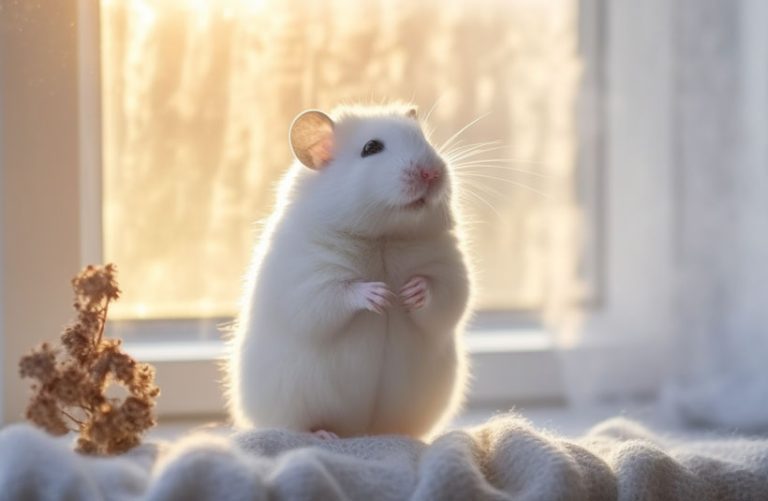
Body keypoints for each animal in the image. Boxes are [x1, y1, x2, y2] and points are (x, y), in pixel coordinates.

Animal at [226, 103, 472, 439]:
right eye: (371, 148)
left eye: (426, 140)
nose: (432, 173)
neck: (383, 238)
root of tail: (358, 430)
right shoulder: (307, 279)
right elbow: (337, 294)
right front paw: (381, 295)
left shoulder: (450, 271)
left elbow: (444, 296)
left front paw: (410, 292)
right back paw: (324, 434)